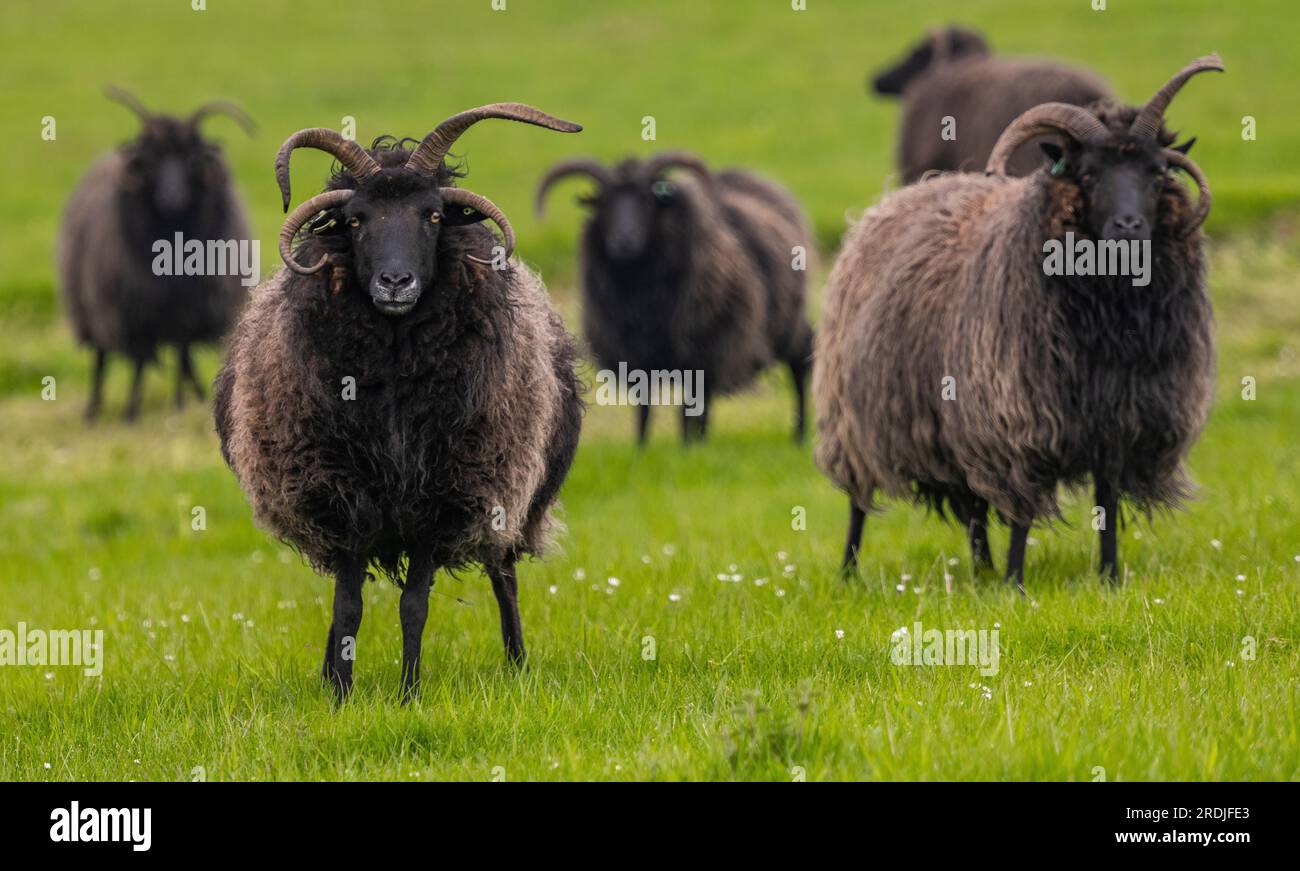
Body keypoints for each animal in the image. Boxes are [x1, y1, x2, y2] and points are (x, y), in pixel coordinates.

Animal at [57, 87, 255, 421]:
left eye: (192, 160)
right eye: (150, 161)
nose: (171, 197)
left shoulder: (190, 309)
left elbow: (181, 354)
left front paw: (180, 403)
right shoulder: (136, 312)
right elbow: (139, 362)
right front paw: (131, 412)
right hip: (93, 307)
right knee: (100, 357)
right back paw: (93, 410)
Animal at [214, 104, 585, 700]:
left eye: (432, 216)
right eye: (356, 220)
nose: (395, 281)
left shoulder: (444, 500)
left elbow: (415, 606)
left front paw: (409, 692)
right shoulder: (341, 497)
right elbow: (347, 608)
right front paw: (340, 694)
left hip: (510, 491)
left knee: (503, 575)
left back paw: (517, 663)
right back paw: (327, 675)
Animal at [535, 153, 814, 444]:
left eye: (647, 200)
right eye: (603, 202)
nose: (623, 241)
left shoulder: (703, 348)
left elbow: (689, 407)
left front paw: (688, 446)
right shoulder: (635, 353)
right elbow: (644, 406)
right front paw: (642, 444)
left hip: (786, 323)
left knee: (799, 364)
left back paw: (799, 433)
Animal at [816, 56, 1223, 588]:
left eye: (1157, 174)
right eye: (1088, 175)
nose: (1128, 227)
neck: (1112, 319)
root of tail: (905, 194)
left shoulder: (1122, 421)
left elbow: (1107, 504)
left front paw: (1109, 578)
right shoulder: (1017, 418)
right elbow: (1023, 511)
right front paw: (1016, 585)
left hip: (950, 424)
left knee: (972, 504)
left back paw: (982, 569)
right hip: (856, 415)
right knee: (859, 501)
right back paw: (850, 572)